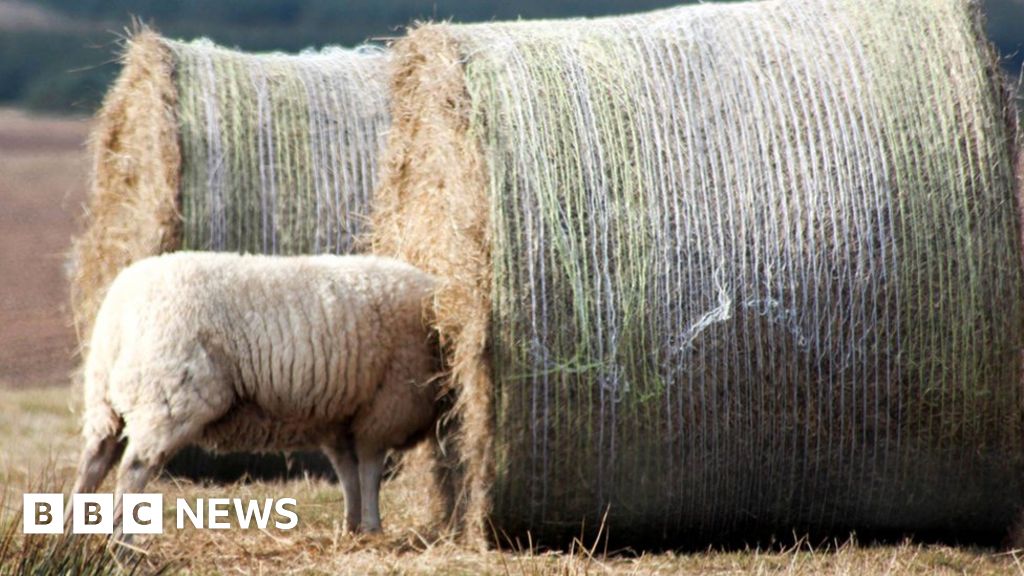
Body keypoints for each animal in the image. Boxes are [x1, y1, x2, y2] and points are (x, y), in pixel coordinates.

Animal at [70, 252, 442, 536]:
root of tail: (119, 308)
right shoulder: (382, 409)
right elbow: (369, 471)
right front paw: (373, 527)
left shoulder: (339, 418)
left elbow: (348, 472)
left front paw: (352, 526)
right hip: (167, 395)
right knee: (133, 468)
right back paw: (122, 541)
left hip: (105, 400)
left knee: (94, 462)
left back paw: (72, 536)